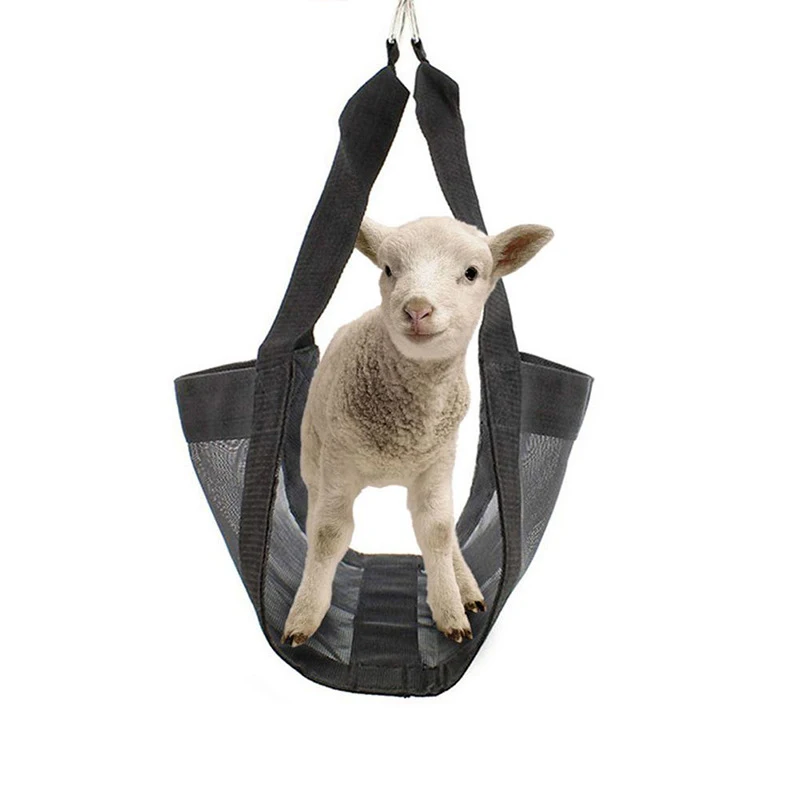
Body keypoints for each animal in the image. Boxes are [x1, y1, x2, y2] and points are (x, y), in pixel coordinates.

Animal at [281, 215, 553, 646]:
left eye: (472, 272)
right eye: (388, 269)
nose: (417, 309)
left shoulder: (436, 464)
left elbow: (438, 531)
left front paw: (450, 610)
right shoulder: (338, 462)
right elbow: (328, 534)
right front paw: (306, 613)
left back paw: (466, 587)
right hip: (314, 450)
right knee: (314, 507)